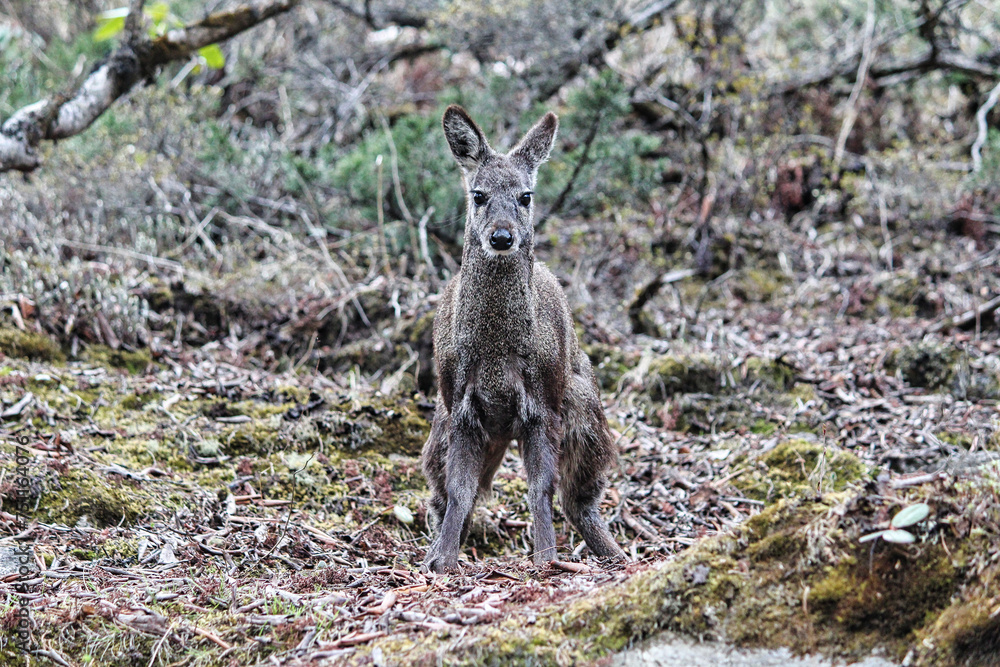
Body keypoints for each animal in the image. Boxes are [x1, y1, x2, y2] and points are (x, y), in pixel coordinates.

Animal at [421, 105, 626, 573]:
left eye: (526, 196)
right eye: (478, 194)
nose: (502, 236)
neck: (497, 351)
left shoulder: (544, 404)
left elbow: (540, 489)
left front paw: (546, 558)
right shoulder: (459, 405)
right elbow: (460, 491)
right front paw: (443, 561)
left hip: (584, 411)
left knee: (580, 497)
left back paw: (616, 556)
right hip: (441, 427)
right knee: (442, 495)